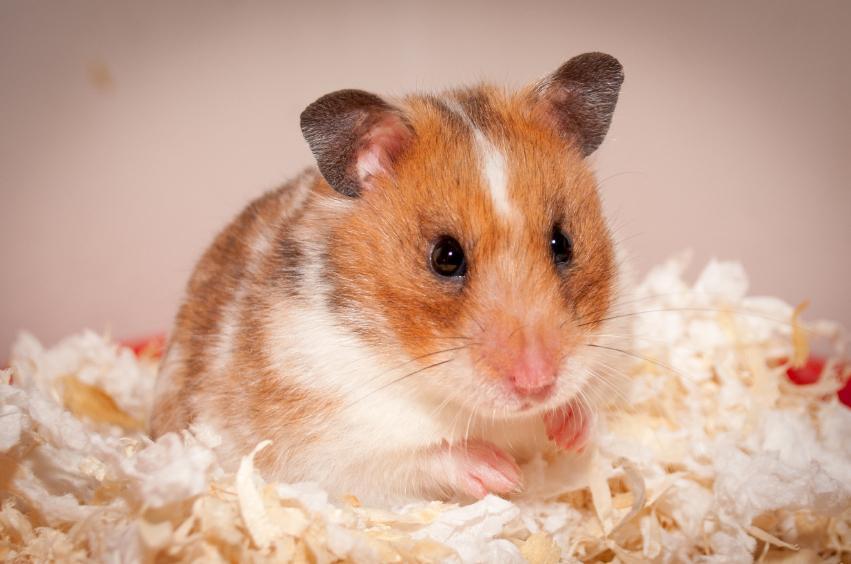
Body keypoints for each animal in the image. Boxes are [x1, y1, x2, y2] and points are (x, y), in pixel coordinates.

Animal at [150, 52, 628, 505]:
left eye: (563, 243)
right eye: (445, 257)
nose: (538, 385)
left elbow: (591, 403)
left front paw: (569, 431)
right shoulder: (333, 442)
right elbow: (425, 456)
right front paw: (502, 473)